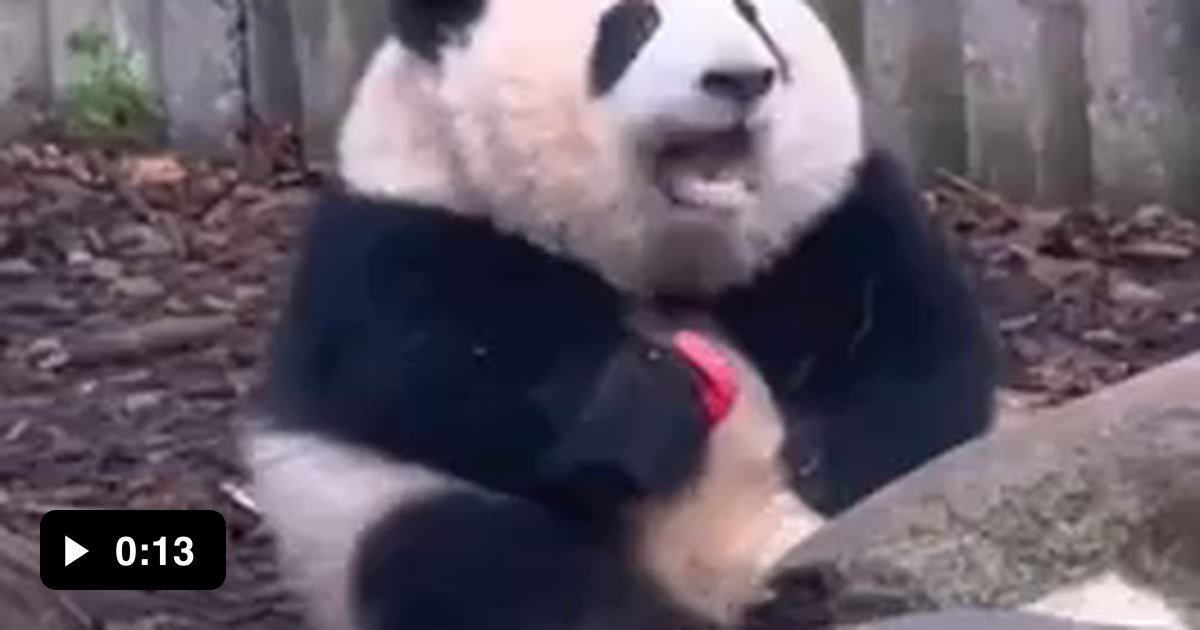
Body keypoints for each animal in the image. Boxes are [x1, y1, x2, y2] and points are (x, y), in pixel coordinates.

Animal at [244, 0, 997, 628]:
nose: (742, 79)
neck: (659, 259)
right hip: (366, 517)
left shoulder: (822, 221)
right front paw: (649, 399)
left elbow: (917, 364)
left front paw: (824, 457)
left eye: (753, 14)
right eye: (633, 24)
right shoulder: (401, 226)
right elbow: (427, 370)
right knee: (473, 563)